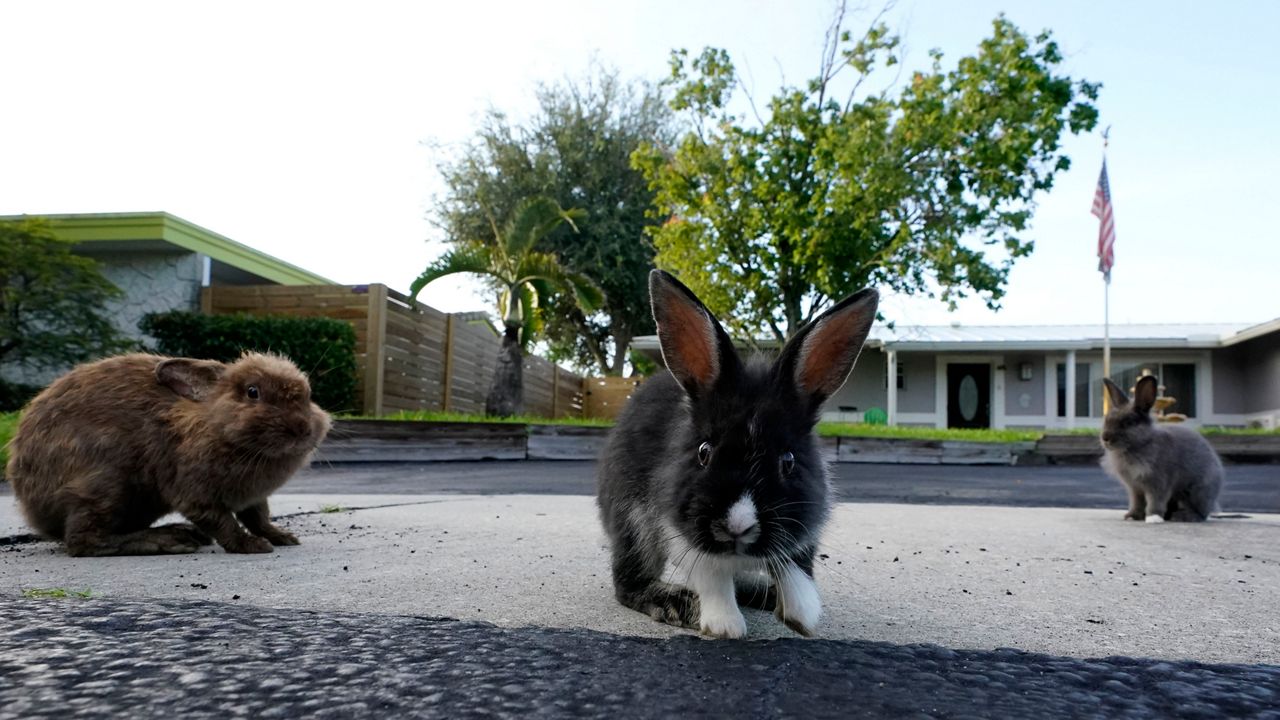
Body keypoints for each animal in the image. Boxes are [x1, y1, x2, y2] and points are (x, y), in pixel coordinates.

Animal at [6, 351, 330, 550]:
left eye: (309, 396)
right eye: (253, 392)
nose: (301, 429)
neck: (215, 427)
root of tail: (32, 508)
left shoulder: (252, 497)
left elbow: (259, 518)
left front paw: (284, 537)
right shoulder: (193, 494)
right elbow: (224, 522)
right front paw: (251, 546)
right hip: (105, 485)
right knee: (82, 541)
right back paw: (167, 541)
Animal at [593, 267, 875, 632]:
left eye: (788, 461)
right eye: (704, 452)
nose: (738, 526)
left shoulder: (803, 531)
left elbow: (796, 570)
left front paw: (802, 614)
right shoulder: (680, 529)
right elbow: (713, 576)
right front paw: (724, 624)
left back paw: (764, 593)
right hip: (632, 524)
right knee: (628, 583)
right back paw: (677, 602)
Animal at [1100, 376, 1218, 520]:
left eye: (1129, 422)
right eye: (1107, 420)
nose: (1105, 438)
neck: (1139, 444)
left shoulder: (1158, 484)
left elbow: (1155, 502)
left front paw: (1153, 517)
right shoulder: (1135, 488)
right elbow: (1137, 502)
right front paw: (1132, 516)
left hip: (1196, 492)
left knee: (1201, 513)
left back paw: (1183, 516)